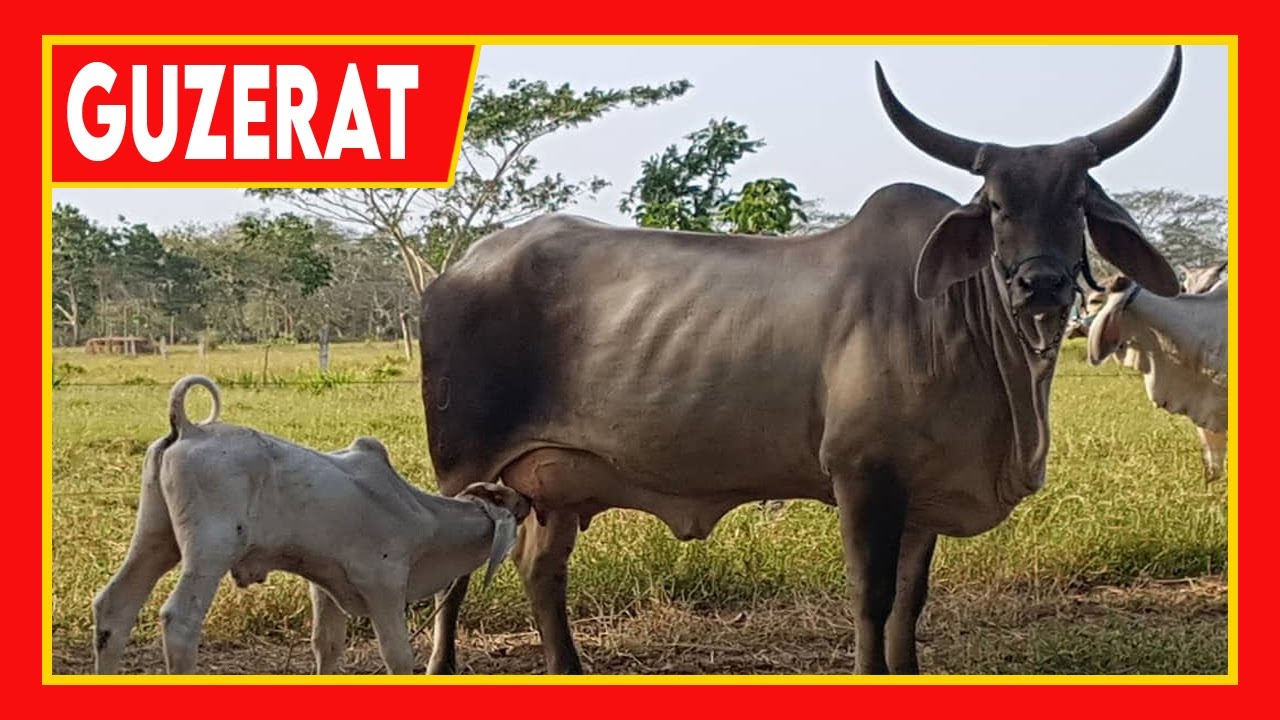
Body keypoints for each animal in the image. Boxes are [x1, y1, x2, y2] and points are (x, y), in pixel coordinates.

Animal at [417, 47, 1185, 675]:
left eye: (1078, 201)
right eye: (995, 205)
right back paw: (441, 669)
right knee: (455, 573)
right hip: (466, 469)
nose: (1043, 284)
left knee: (541, 571)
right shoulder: (863, 477)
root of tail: (459, 269)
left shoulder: (921, 501)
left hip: (556, 486)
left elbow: (910, 606)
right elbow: (873, 600)